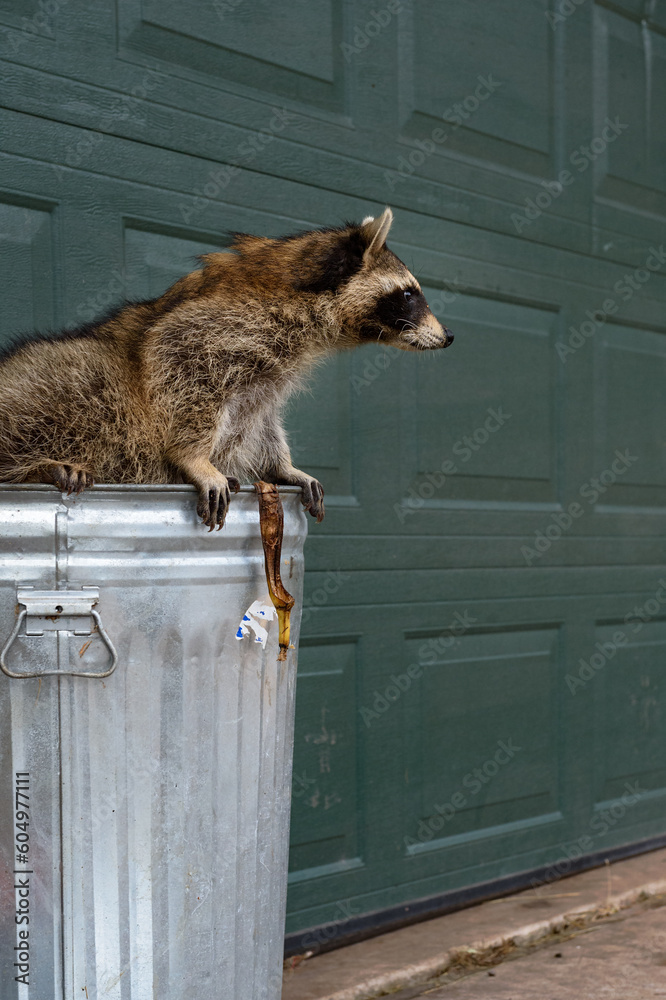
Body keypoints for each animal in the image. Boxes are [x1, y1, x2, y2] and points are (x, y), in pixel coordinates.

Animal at [0, 207, 453, 529]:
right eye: (409, 294)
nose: (449, 336)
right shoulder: (218, 326)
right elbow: (176, 359)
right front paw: (195, 458)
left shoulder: (270, 374)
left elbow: (264, 422)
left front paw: (283, 466)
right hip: (57, 383)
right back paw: (40, 466)